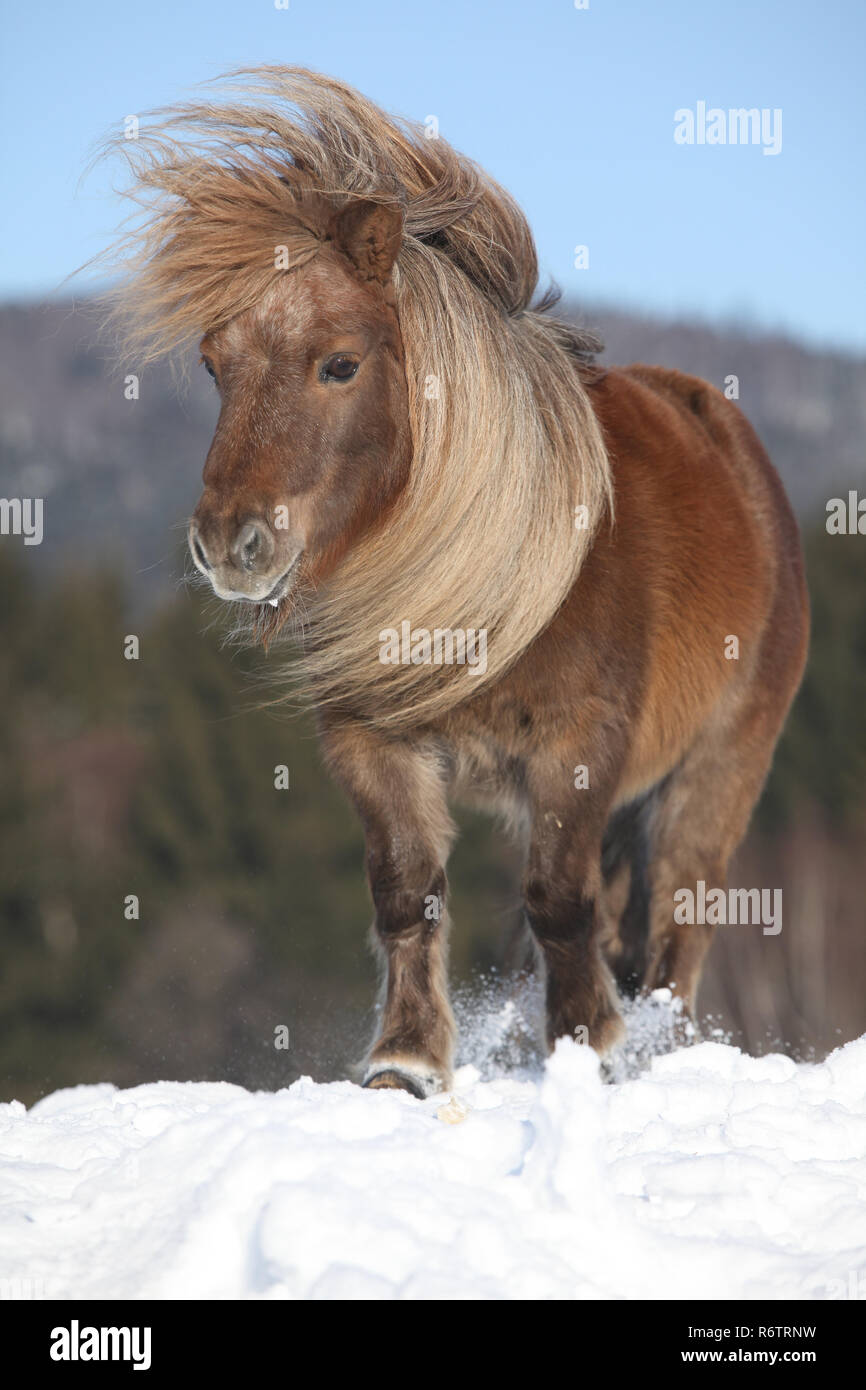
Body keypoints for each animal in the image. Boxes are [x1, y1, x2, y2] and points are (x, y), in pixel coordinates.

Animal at [103, 67, 809, 1098]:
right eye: (213, 365)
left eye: (339, 364)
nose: (231, 544)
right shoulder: (372, 744)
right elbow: (408, 893)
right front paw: (406, 1060)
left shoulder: (578, 748)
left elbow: (559, 901)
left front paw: (585, 1046)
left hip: (718, 769)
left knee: (681, 919)